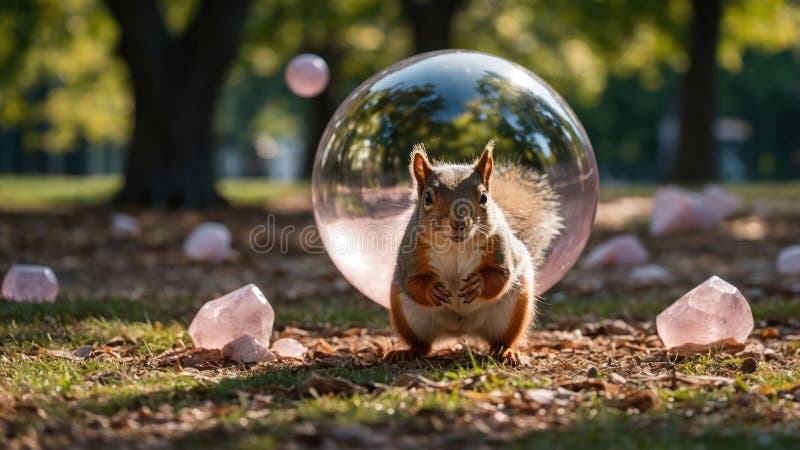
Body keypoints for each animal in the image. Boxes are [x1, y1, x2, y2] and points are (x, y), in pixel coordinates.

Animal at [385, 140, 563, 366]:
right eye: (428, 197)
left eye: (484, 197)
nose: (459, 223)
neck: (455, 245)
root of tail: (461, 328)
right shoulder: (412, 254)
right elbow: (413, 281)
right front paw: (432, 289)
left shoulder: (499, 246)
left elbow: (501, 276)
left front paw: (477, 284)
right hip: (407, 314)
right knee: (422, 345)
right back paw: (406, 352)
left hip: (513, 309)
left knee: (501, 340)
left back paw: (508, 352)